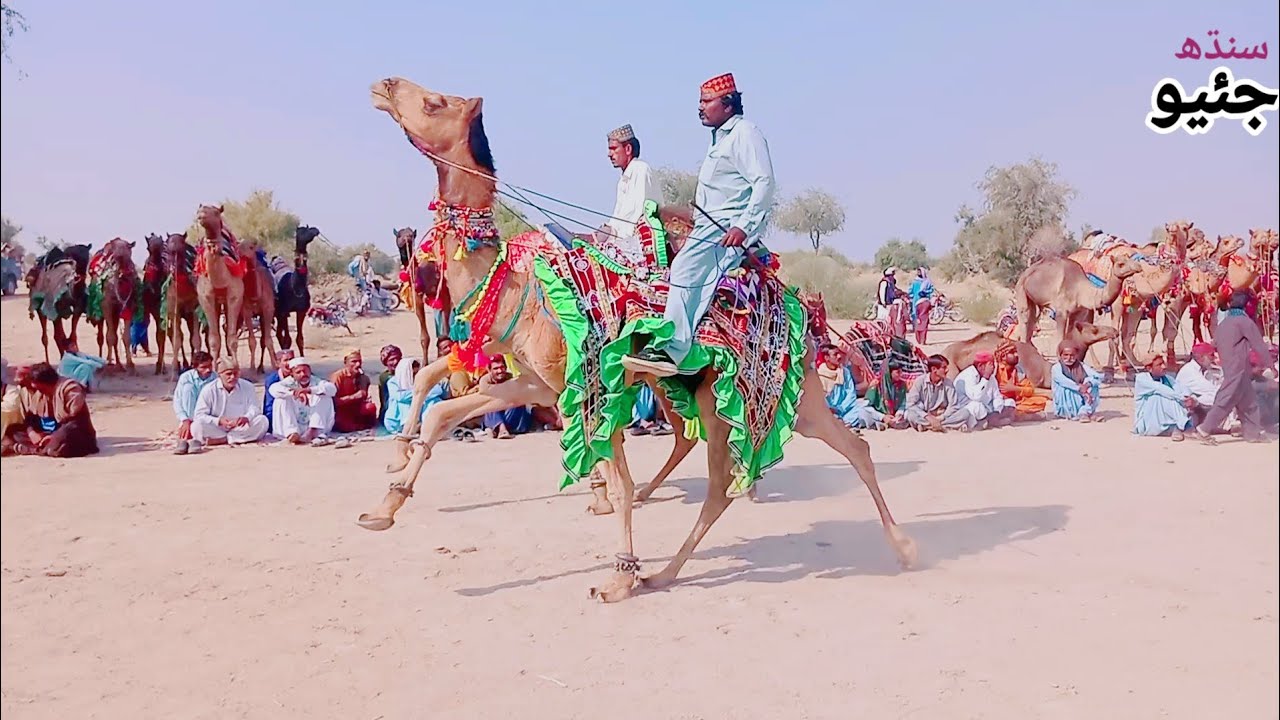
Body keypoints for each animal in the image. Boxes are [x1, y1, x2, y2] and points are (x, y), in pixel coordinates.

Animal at [163, 232, 202, 377]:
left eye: (181, 249)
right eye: (168, 250)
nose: (173, 270)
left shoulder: (194, 310)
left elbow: (196, 339)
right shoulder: (175, 312)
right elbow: (177, 340)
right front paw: (174, 370)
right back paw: (184, 364)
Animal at [193, 205, 245, 362]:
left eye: (216, 212)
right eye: (200, 210)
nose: (201, 215)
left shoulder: (235, 296)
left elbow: (232, 338)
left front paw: (235, 365)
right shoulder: (206, 297)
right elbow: (214, 339)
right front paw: (214, 365)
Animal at [274, 225, 321, 358]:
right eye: (301, 231)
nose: (315, 230)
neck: (294, 287)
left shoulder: (301, 310)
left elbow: (299, 339)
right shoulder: (284, 311)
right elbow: (287, 340)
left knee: (279, 333)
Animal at [358, 76, 917, 602]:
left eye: (434, 103)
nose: (384, 85)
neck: (516, 280)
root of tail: (799, 303)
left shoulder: (585, 384)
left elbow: (615, 476)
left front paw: (617, 576)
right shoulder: (539, 382)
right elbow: (442, 413)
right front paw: (384, 506)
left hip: (767, 395)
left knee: (833, 452)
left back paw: (904, 548)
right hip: (719, 396)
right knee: (731, 476)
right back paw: (666, 569)